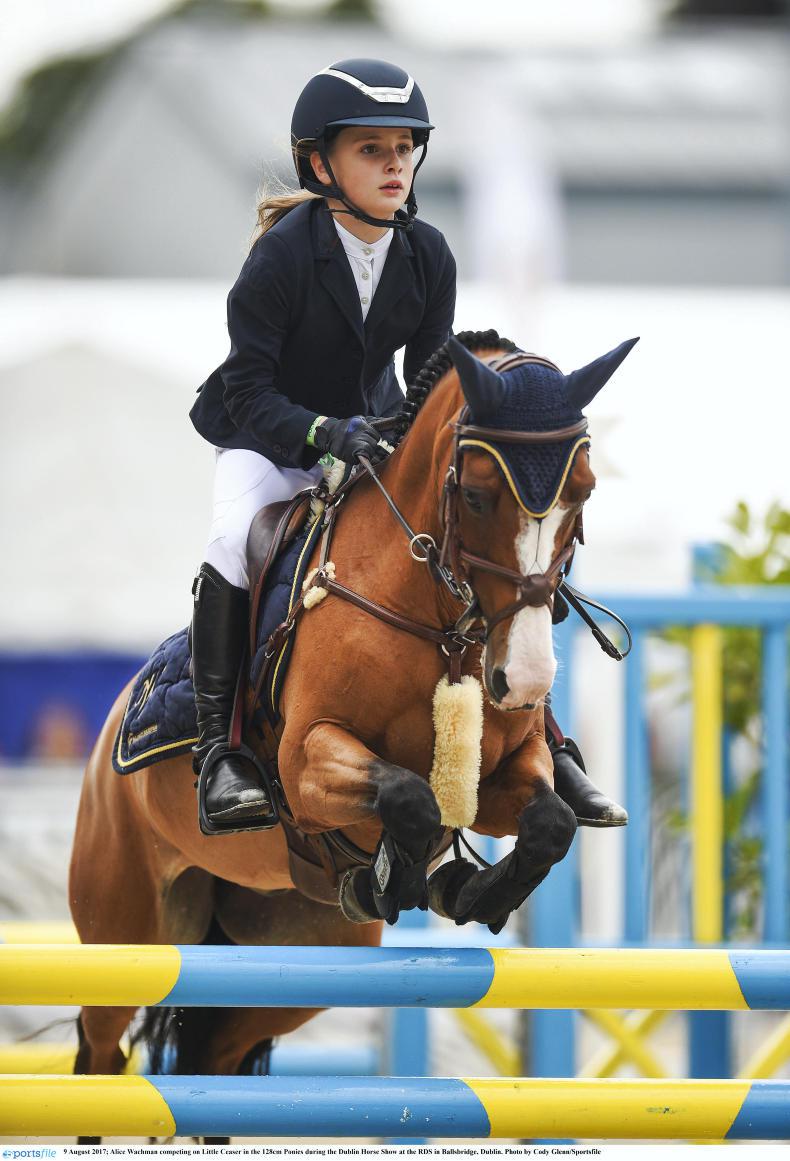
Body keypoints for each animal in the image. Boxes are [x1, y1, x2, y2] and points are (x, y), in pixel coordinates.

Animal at [68, 327, 636, 1113]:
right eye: (479, 495)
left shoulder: (504, 774)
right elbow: (408, 795)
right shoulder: (308, 763)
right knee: (99, 1050)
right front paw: (399, 876)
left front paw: (464, 889)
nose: (523, 681)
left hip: (287, 952)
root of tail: (105, 744)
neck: (437, 618)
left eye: (583, 493)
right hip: (124, 933)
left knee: (215, 1052)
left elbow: (549, 821)